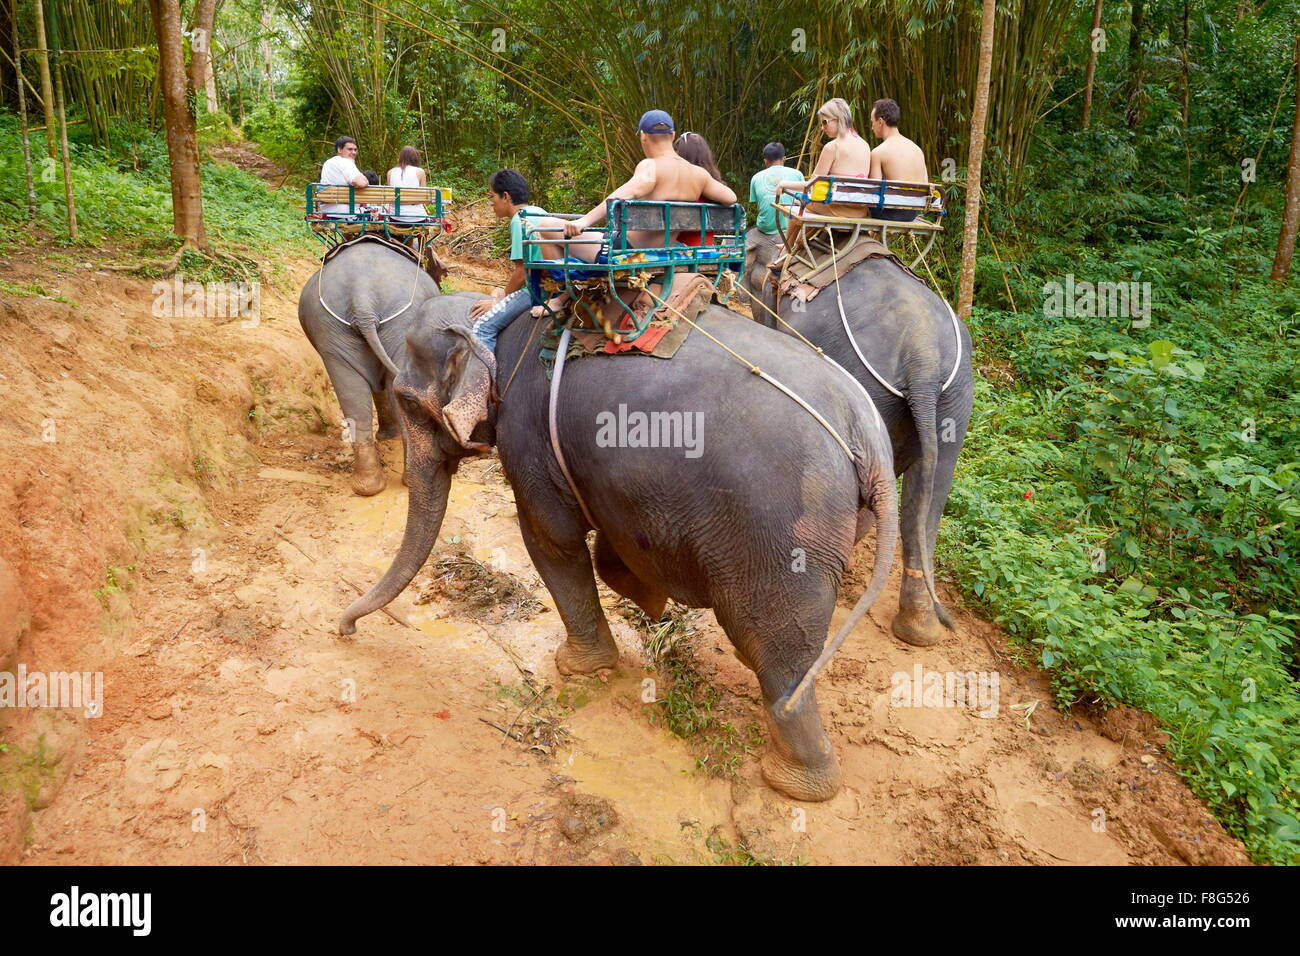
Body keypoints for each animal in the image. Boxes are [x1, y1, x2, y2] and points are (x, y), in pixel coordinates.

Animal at [298, 237, 443, 495]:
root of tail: (361, 294)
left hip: (330, 329)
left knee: (351, 392)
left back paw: (368, 486)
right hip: (399, 323)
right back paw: (409, 479)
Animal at [338, 291, 899, 802]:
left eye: (408, 401)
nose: (344, 629)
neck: (488, 318)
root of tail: (867, 438)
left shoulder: (528, 438)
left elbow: (549, 538)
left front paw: (576, 667)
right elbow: (610, 548)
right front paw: (648, 599)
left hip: (782, 532)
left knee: (777, 645)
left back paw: (795, 782)